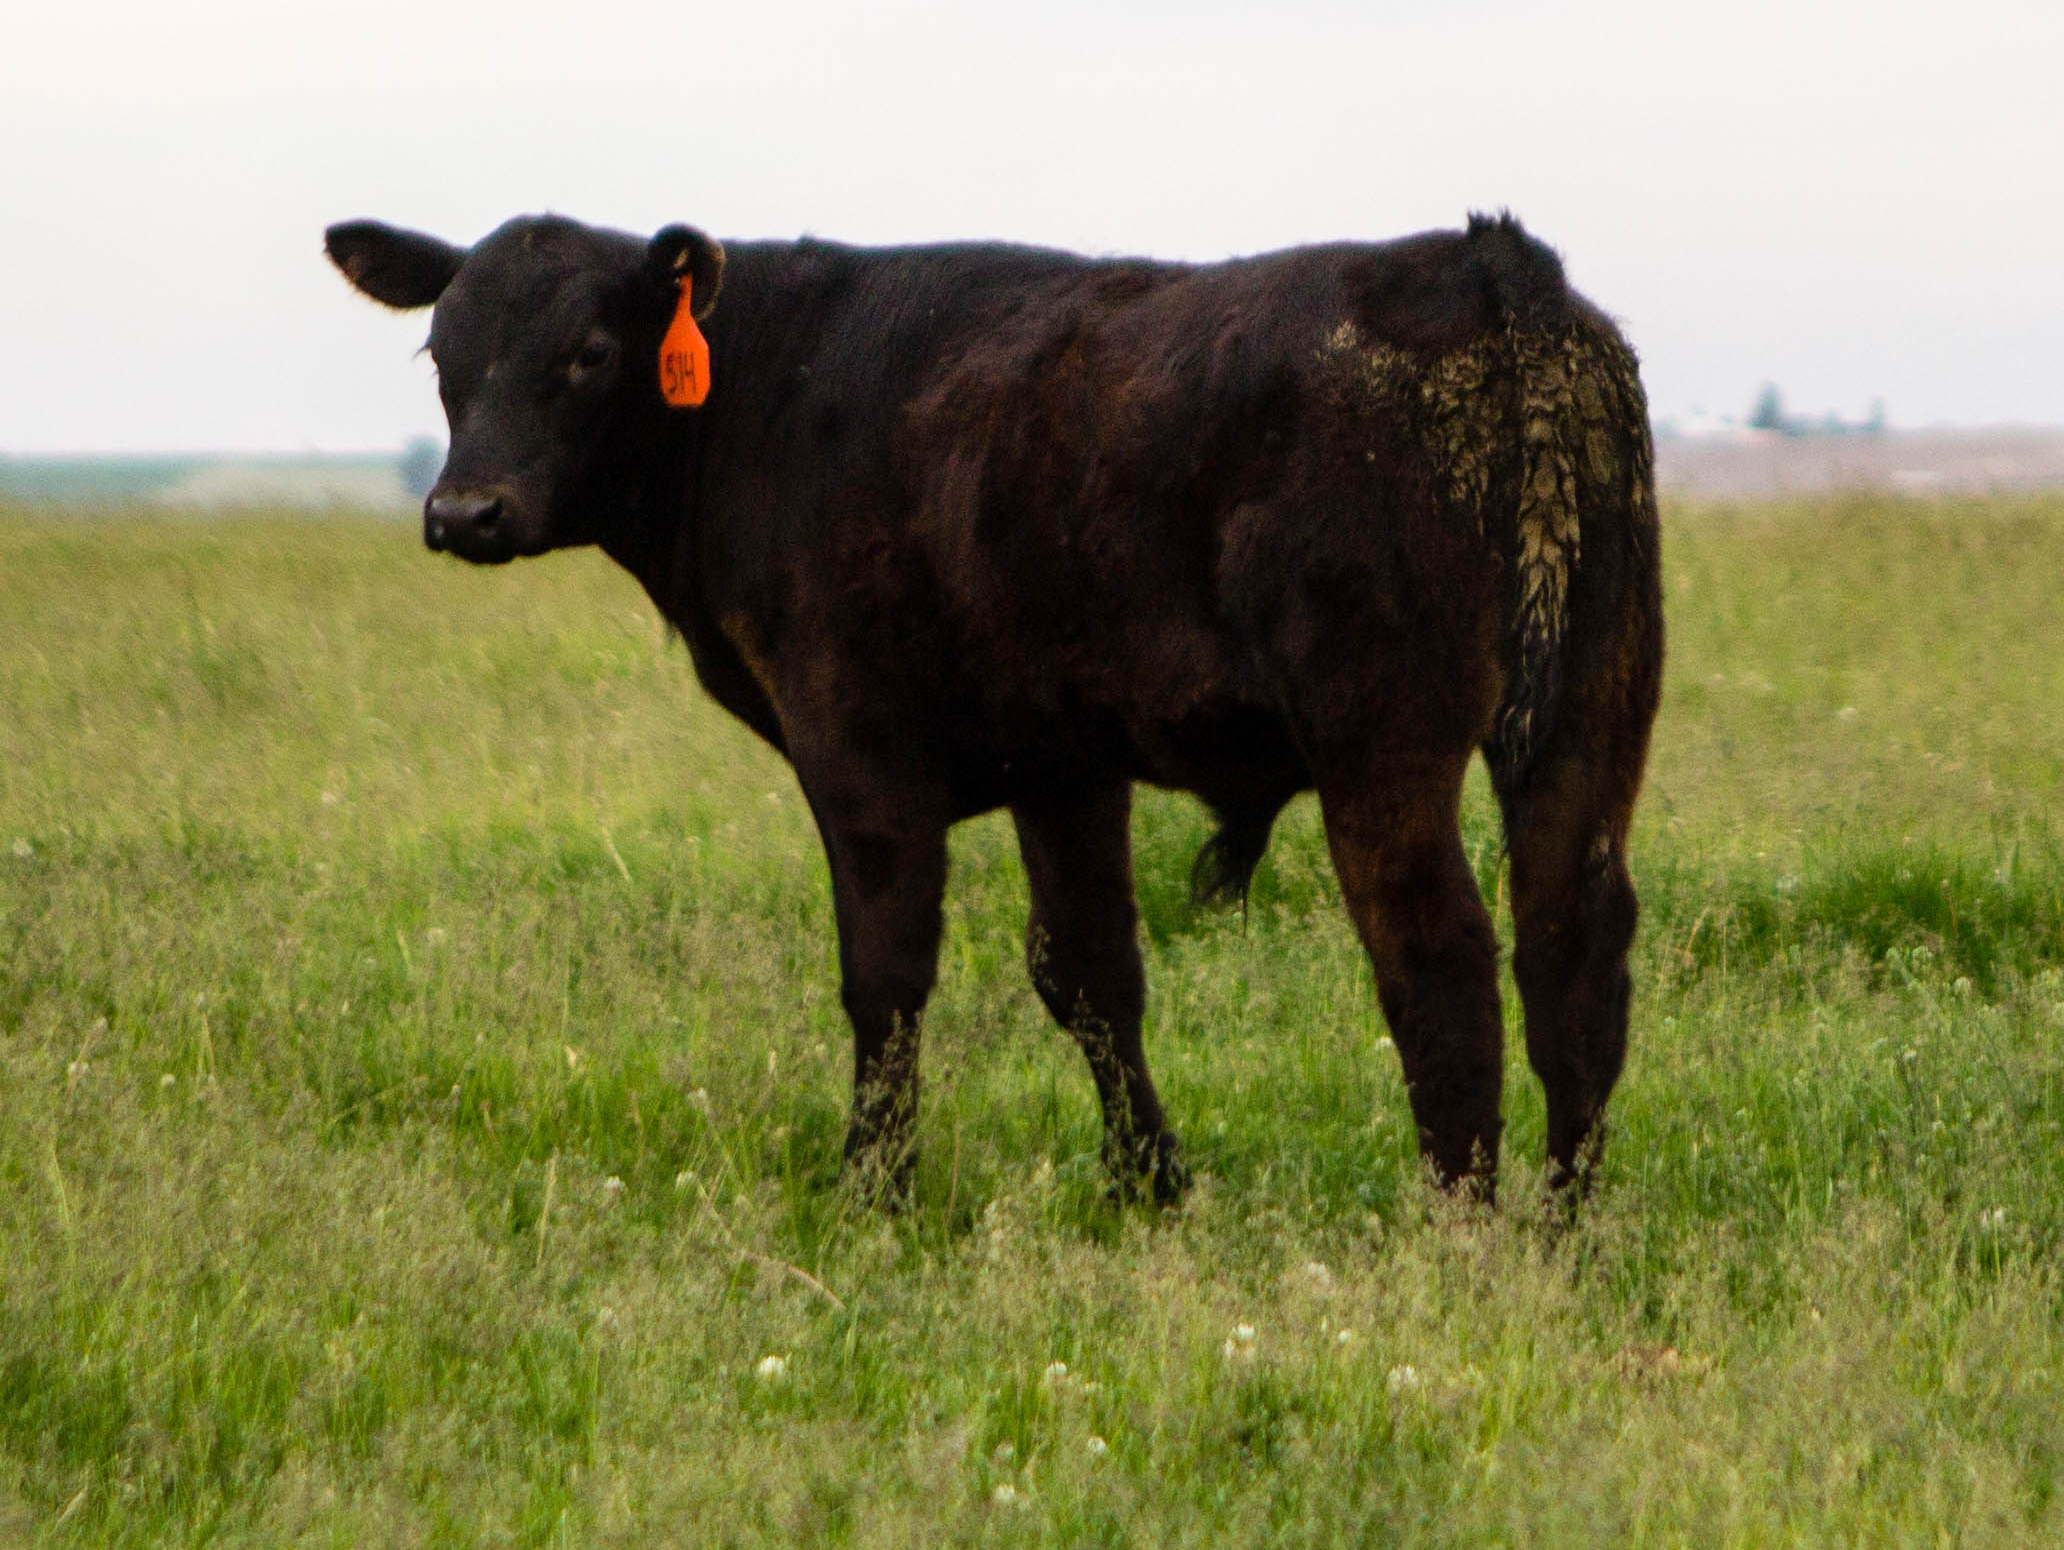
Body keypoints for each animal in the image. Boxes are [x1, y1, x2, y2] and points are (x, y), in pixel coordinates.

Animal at [325, 210, 1662, 1205]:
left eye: (592, 352)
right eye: (440, 353)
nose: (466, 512)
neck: (768, 392)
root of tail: (1488, 264)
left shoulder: (856, 744)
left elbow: (885, 974)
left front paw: (873, 1190)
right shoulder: (1061, 758)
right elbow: (1090, 973)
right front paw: (1150, 1186)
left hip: (1383, 741)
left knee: (1442, 961)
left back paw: (1462, 1230)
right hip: (1594, 708)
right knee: (1573, 948)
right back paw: (1566, 1228)